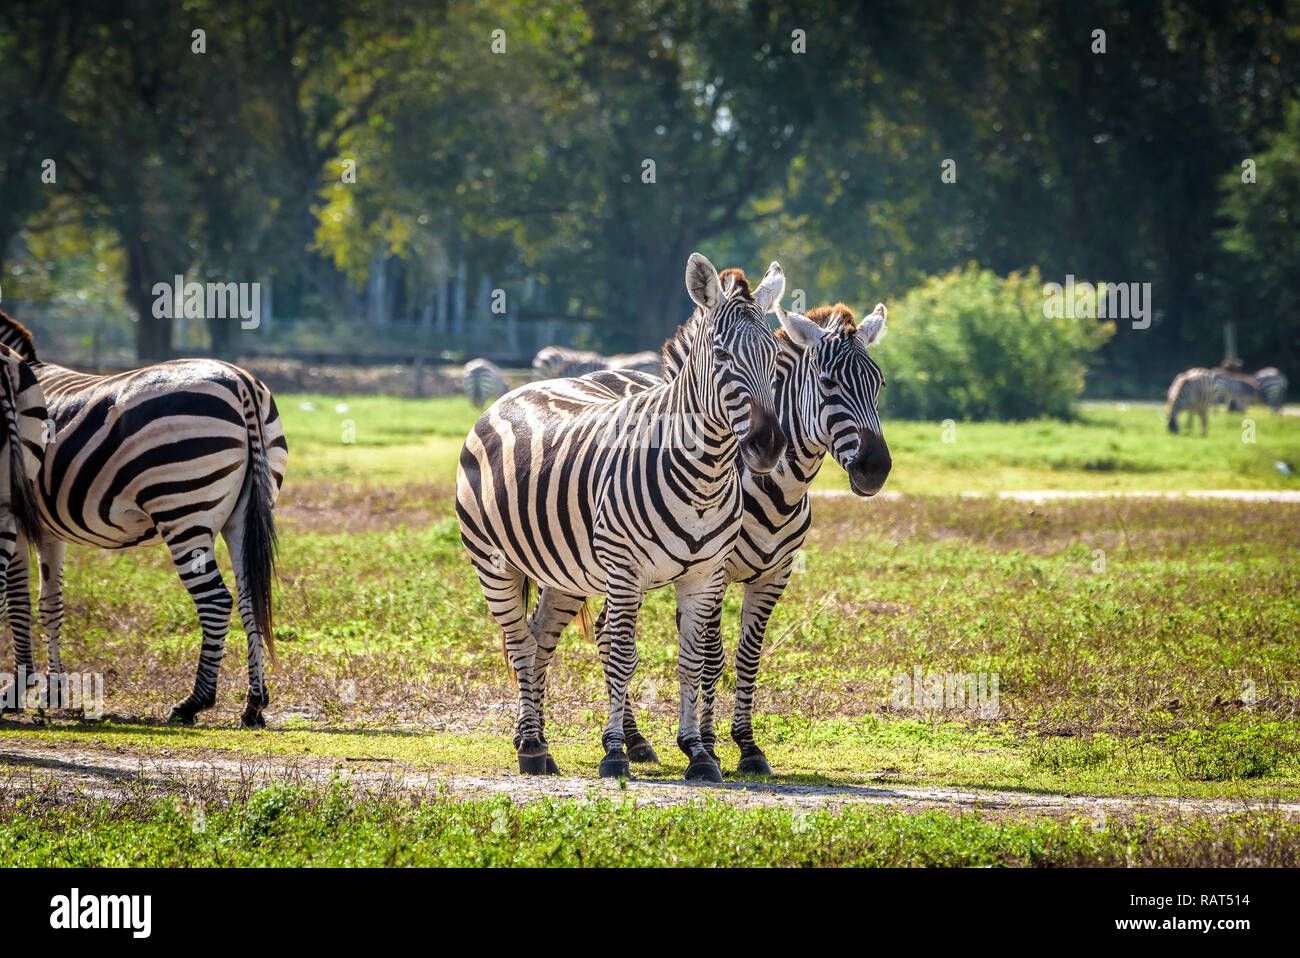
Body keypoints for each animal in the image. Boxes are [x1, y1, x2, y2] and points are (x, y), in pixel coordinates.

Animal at [0, 311, 288, 727]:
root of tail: (240, 382)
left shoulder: (16, 519)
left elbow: (18, 603)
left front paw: (19, 690)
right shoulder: (50, 531)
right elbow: (50, 604)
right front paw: (54, 691)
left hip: (181, 510)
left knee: (217, 601)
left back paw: (193, 703)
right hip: (242, 516)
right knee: (251, 599)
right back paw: (253, 705)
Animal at [457, 253, 787, 782]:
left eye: (776, 357)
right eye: (720, 355)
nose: (768, 446)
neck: (705, 473)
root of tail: (515, 390)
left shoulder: (704, 575)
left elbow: (693, 661)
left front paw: (698, 753)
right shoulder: (624, 569)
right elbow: (622, 658)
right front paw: (614, 753)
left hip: (564, 574)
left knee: (538, 640)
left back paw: (535, 741)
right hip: (493, 563)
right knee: (520, 644)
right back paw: (532, 748)